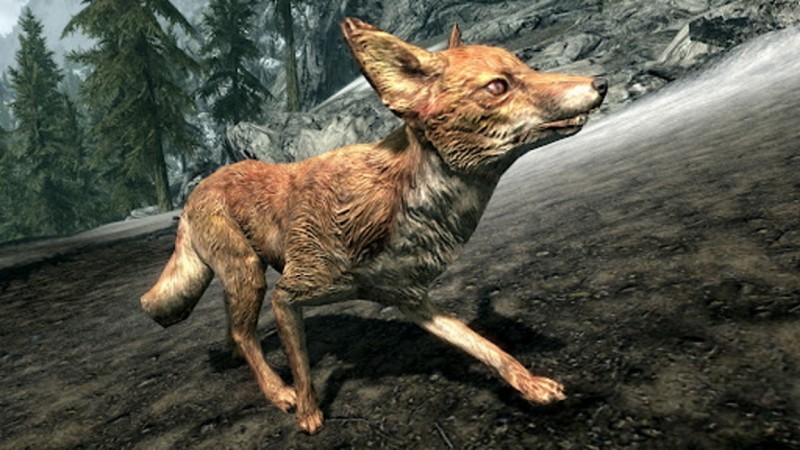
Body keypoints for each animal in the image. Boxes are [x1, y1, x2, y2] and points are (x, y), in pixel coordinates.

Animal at [141, 17, 606, 434]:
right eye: (498, 87)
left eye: (528, 67)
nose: (600, 83)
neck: (398, 212)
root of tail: (196, 191)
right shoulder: (288, 294)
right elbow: (303, 367)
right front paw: (308, 413)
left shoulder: (411, 299)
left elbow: (485, 347)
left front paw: (530, 384)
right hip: (251, 276)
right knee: (245, 333)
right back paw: (276, 391)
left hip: (242, 278)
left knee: (237, 329)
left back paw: (237, 357)